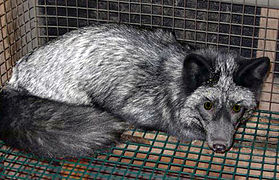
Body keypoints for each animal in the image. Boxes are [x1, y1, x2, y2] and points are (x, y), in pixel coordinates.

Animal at [6, 23, 270, 153]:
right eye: (207, 105)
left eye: (236, 108)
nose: (220, 147)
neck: (174, 84)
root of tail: (16, 74)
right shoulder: (135, 110)